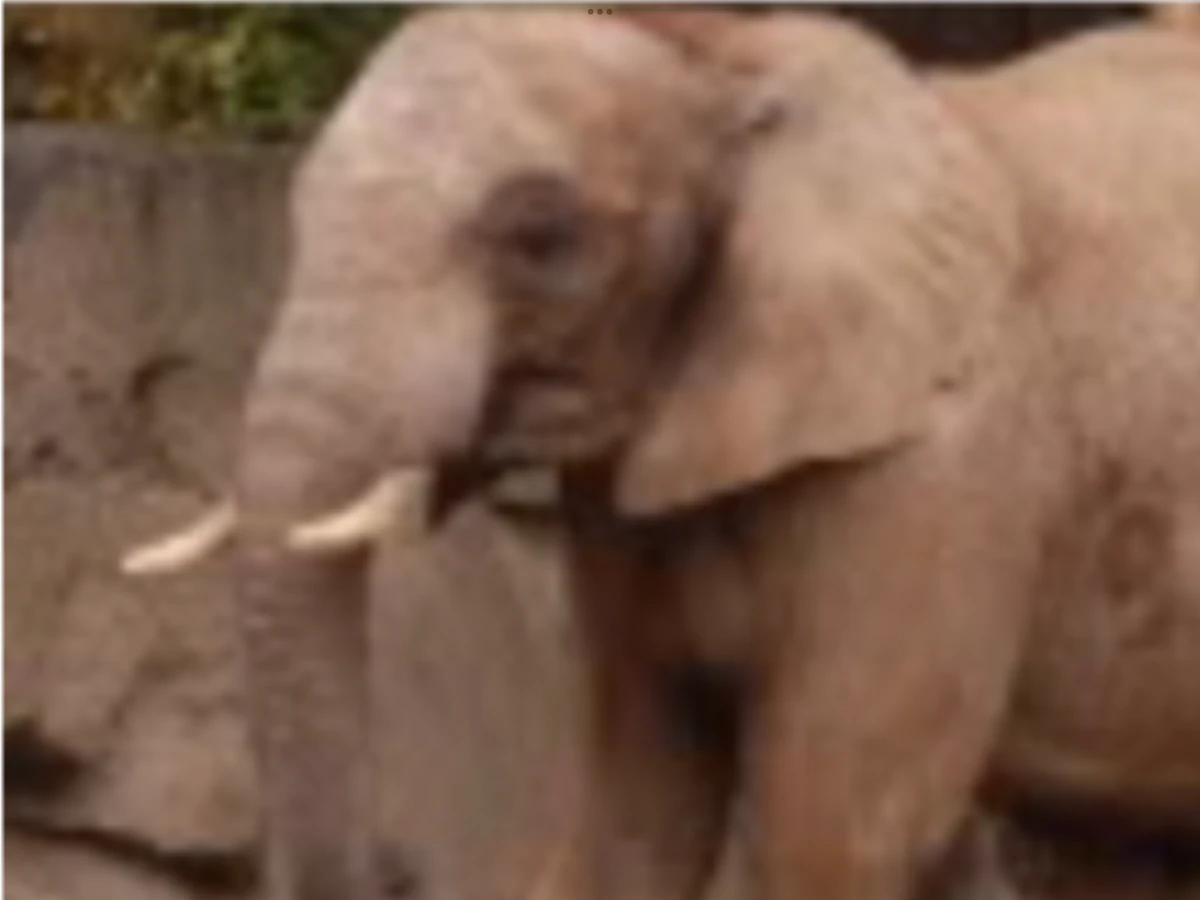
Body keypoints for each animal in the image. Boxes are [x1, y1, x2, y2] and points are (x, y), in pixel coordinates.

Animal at [123, 8, 1200, 900]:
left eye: (540, 237)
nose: (399, 866)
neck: (722, 55)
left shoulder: (942, 467)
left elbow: (840, 834)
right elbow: (637, 816)